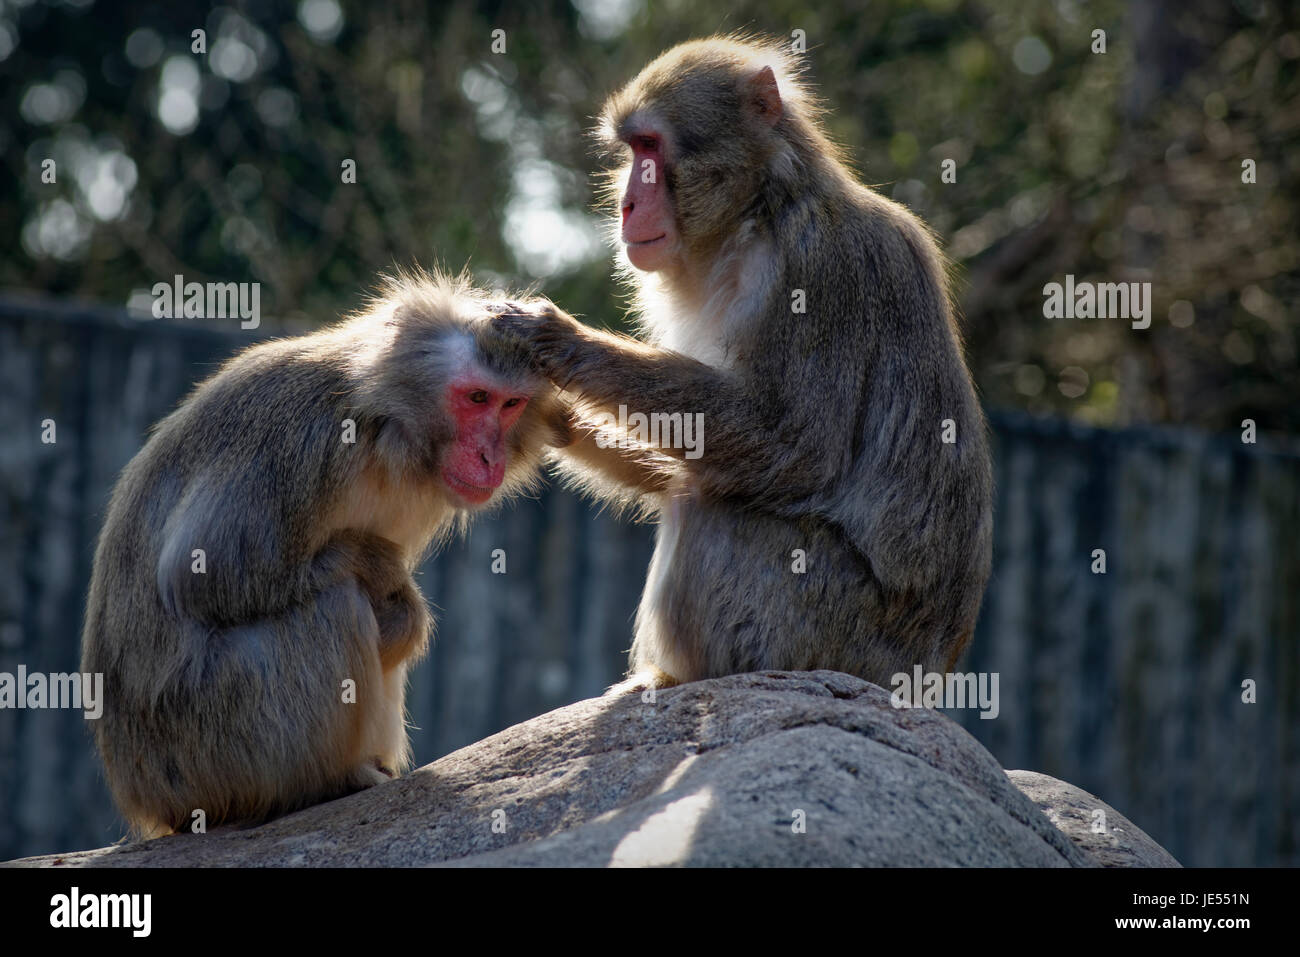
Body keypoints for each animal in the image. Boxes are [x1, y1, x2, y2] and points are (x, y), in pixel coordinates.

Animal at [80, 270, 570, 838]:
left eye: (510, 405)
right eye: (476, 397)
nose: (491, 457)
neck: (383, 426)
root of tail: (144, 798)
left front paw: (401, 610)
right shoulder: (301, 439)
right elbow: (203, 575)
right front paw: (377, 566)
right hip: (209, 740)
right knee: (335, 607)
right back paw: (331, 781)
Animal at [496, 36, 993, 695]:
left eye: (650, 147)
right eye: (631, 151)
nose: (627, 202)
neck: (760, 209)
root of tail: (922, 674)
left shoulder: (814, 274)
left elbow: (793, 445)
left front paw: (565, 343)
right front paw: (554, 420)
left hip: (827, 630)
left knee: (710, 510)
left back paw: (674, 676)